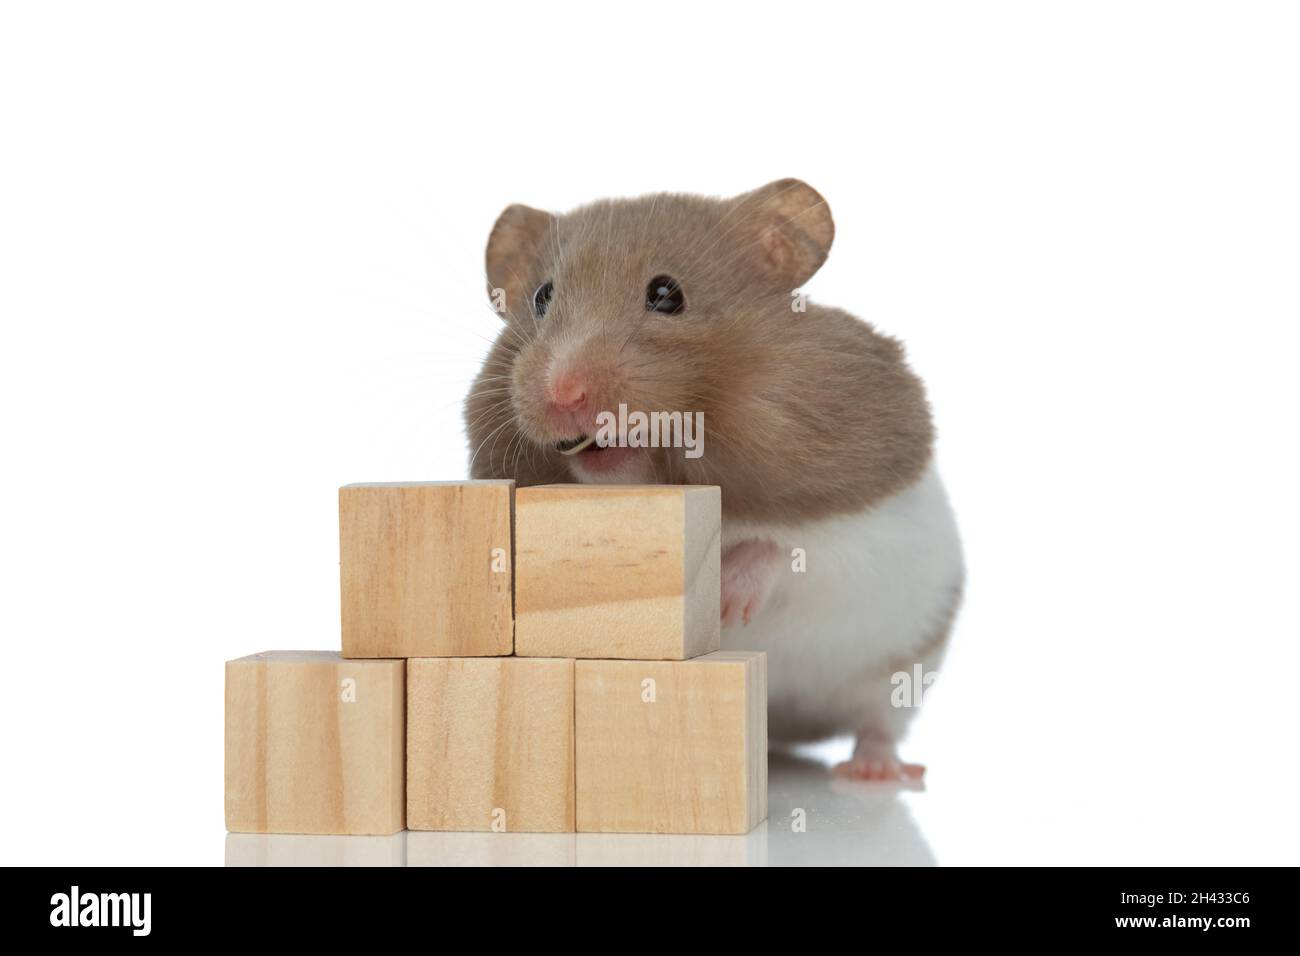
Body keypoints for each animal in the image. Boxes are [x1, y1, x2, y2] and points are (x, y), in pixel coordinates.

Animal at [465, 179, 964, 780]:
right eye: (542, 297)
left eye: (666, 294)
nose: (562, 395)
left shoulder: (879, 528)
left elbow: (792, 550)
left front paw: (724, 595)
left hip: (903, 666)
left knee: (879, 722)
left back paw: (873, 774)